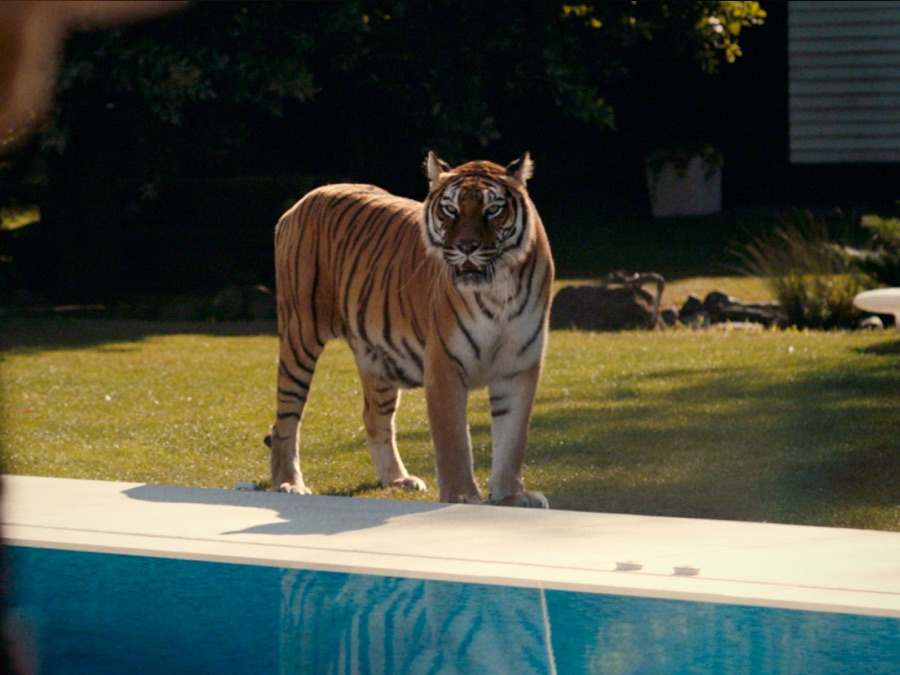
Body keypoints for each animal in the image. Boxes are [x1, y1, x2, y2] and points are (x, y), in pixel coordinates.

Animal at [266, 151, 554, 507]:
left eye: (493, 210)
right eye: (450, 209)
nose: (467, 246)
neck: (498, 290)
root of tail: (306, 198)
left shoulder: (519, 365)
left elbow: (512, 438)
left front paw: (511, 495)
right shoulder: (445, 364)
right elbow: (453, 440)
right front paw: (462, 496)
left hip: (379, 357)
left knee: (374, 418)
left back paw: (398, 478)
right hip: (300, 335)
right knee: (285, 420)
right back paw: (289, 483)